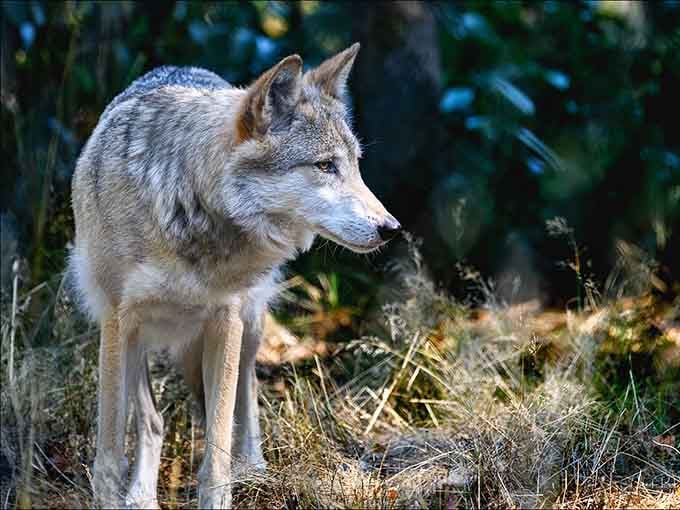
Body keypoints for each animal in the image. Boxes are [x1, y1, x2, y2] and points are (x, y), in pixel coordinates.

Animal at [69, 43, 400, 509]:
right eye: (324, 166)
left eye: (355, 166)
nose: (391, 228)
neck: (186, 206)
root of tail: (190, 68)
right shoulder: (118, 321)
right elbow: (111, 453)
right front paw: (115, 495)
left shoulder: (223, 320)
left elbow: (217, 452)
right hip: (134, 338)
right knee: (152, 420)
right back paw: (141, 496)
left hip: (248, 322)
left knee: (246, 394)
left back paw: (253, 467)